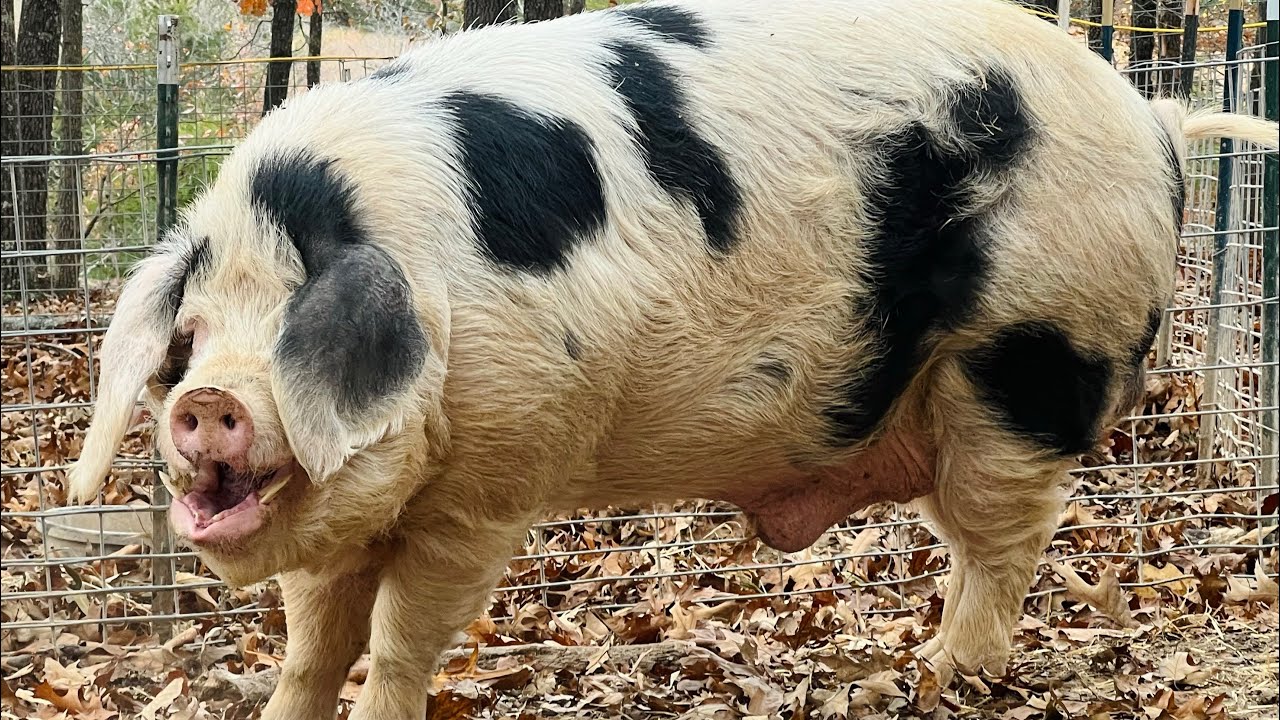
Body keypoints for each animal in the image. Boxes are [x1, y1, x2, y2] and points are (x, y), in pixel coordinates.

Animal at [64, 0, 1279, 717]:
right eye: (189, 336)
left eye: (293, 326)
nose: (207, 403)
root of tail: (1156, 119)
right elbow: (313, 638)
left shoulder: (494, 478)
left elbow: (404, 637)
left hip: (1028, 356)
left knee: (1007, 547)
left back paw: (938, 682)